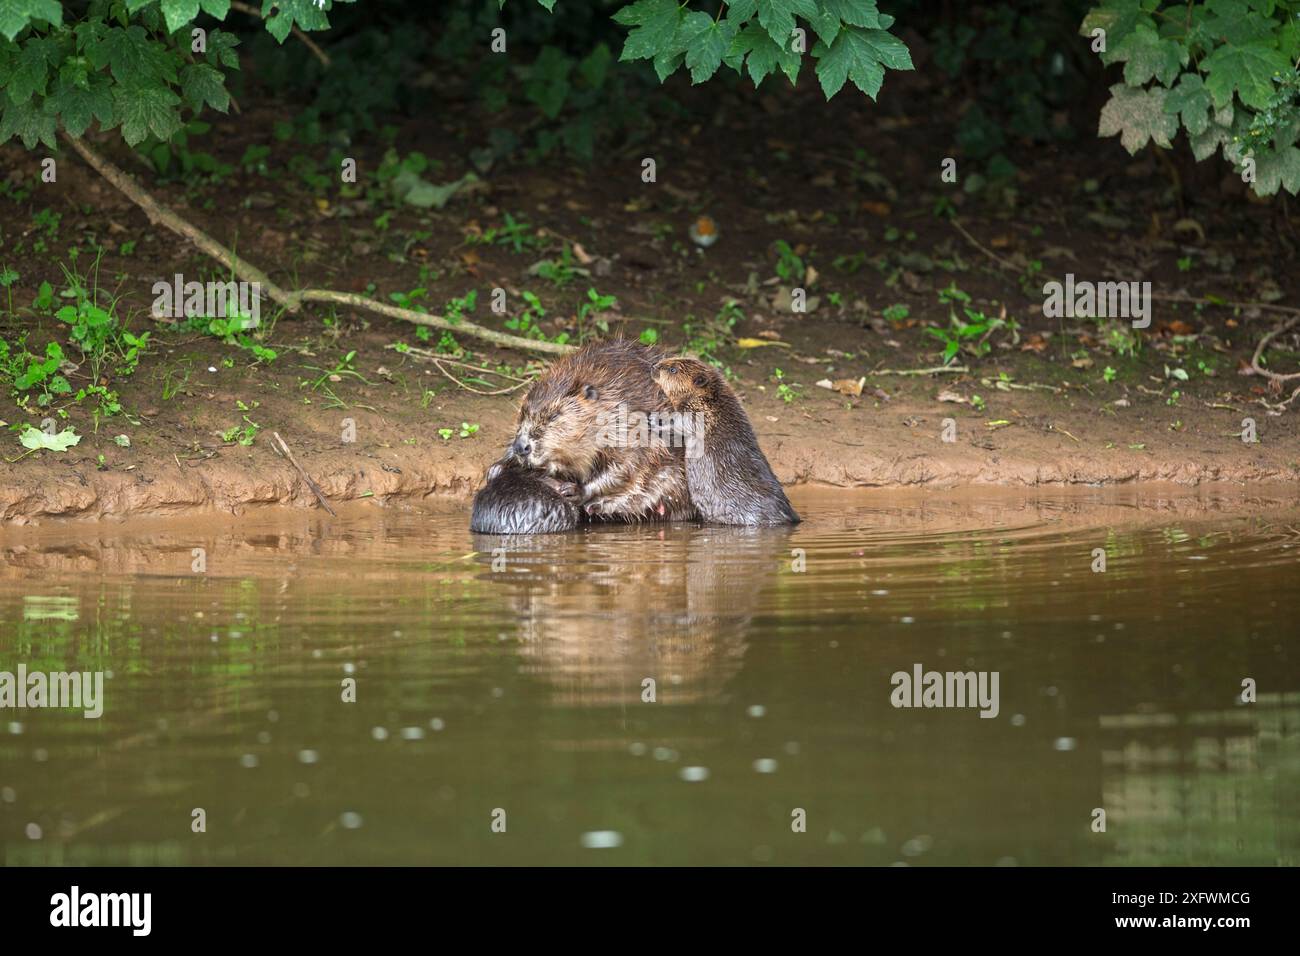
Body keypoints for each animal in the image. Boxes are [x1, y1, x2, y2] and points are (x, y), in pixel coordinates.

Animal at [510, 340, 694, 522]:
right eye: (522, 412)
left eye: (554, 415)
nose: (520, 447)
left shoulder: (632, 426)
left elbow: (628, 465)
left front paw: (576, 491)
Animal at [651, 358, 799, 526]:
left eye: (673, 370)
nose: (654, 367)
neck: (712, 398)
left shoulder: (700, 412)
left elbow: (682, 423)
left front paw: (654, 420)